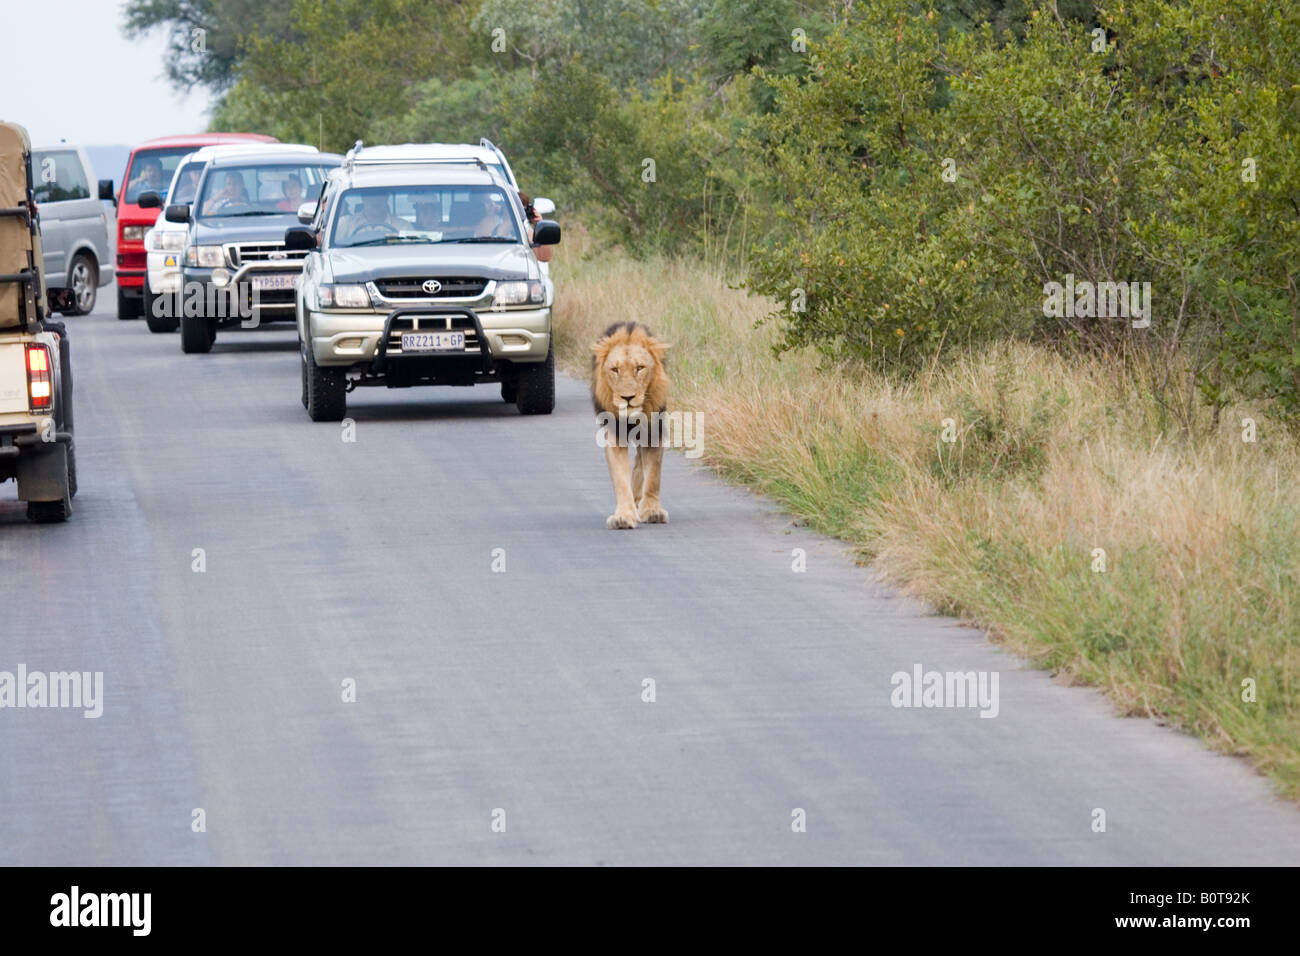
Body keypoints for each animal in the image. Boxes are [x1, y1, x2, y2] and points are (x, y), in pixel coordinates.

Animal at [591, 321, 671, 529]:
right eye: (615, 369)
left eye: (640, 368)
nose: (627, 398)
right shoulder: (615, 436)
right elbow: (620, 478)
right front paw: (624, 516)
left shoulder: (653, 432)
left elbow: (653, 476)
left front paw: (652, 511)